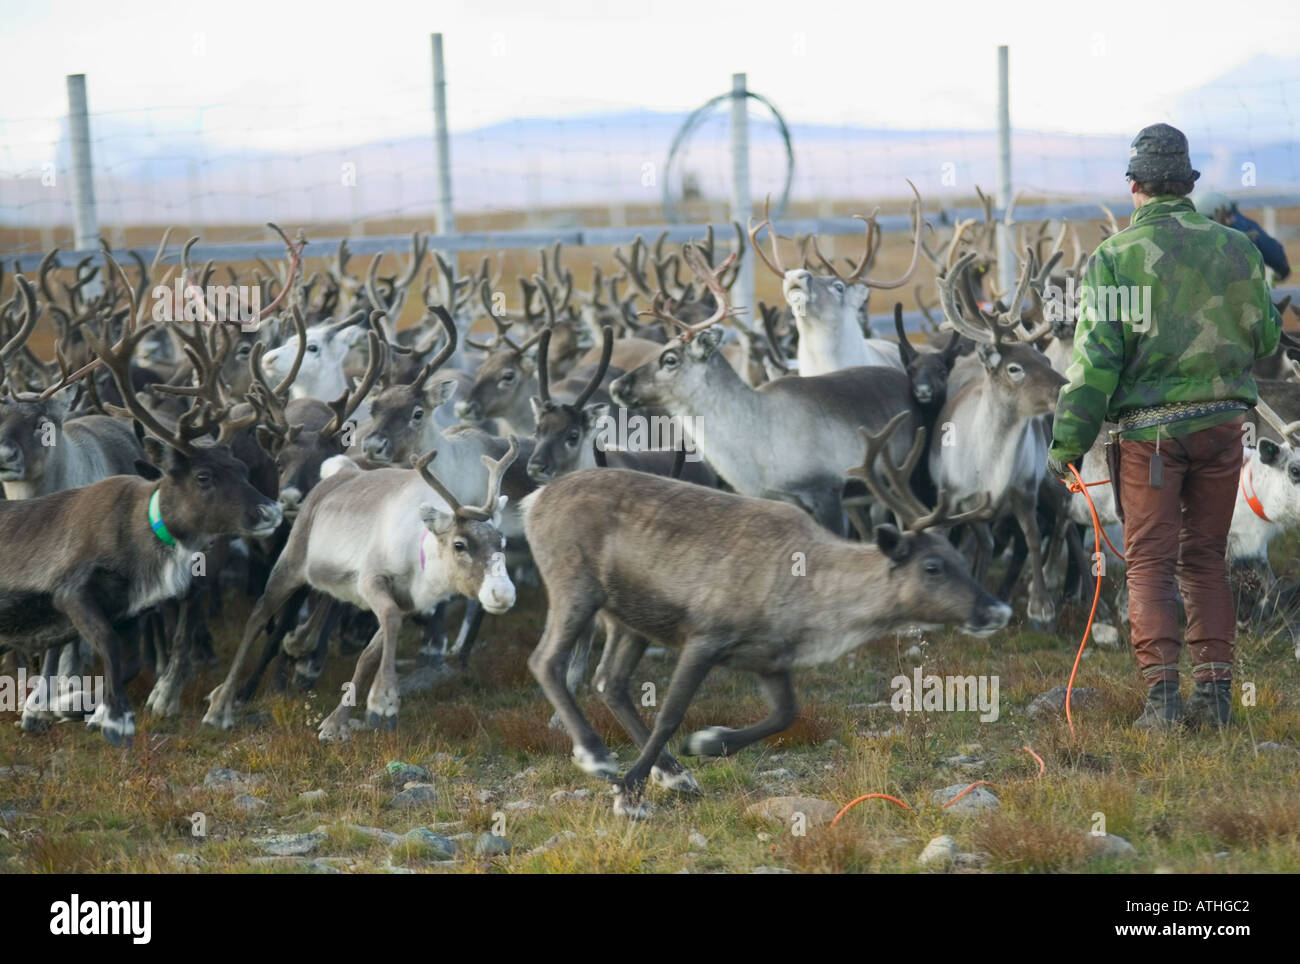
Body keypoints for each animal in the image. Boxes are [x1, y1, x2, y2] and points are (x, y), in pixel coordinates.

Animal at [202, 437, 519, 737]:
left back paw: (298, 643)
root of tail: (341, 471)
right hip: (291, 561)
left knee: (323, 603)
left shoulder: (407, 603)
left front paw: (335, 722)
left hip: (332, 579)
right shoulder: (372, 580)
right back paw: (221, 705)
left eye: (501, 542)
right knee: (257, 616)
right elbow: (388, 619)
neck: (420, 554)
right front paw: (383, 700)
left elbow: (370, 653)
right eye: (459, 544)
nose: (503, 594)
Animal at [522, 410, 1009, 817]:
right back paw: (598, 757)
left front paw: (708, 741)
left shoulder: (770, 659)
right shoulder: (706, 636)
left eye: (962, 559)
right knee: (546, 661)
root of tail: (534, 501)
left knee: (611, 682)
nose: (997, 609)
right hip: (575, 587)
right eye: (932, 566)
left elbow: (785, 715)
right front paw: (629, 794)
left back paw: (675, 774)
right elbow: (671, 714)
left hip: (631, 620)